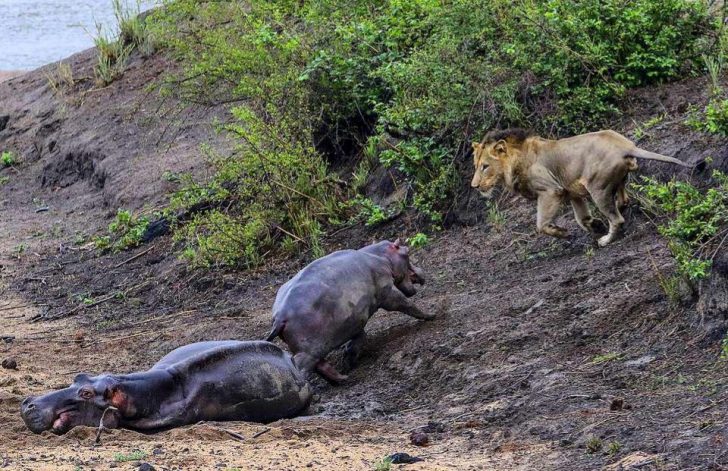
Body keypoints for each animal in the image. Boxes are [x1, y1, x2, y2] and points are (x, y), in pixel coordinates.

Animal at [267, 239, 432, 383]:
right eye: (406, 251)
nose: (422, 271)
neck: (381, 256)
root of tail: (280, 317)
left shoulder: (354, 322)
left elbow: (360, 337)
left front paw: (348, 360)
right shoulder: (387, 290)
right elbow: (406, 304)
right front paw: (431, 315)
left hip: (313, 349)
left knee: (321, 366)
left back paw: (343, 379)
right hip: (308, 350)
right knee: (301, 367)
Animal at [471, 129, 690, 246]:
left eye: (485, 166)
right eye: (476, 166)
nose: (474, 186)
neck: (517, 160)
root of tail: (627, 146)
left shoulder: (551, 190)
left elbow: (541, 225)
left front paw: (562, 232)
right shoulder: (571, 191)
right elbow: (582, 218)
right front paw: (595, 225)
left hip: (597, 187)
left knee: (617, 219)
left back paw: (606, 240)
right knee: (623, 198)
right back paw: (619, 208)